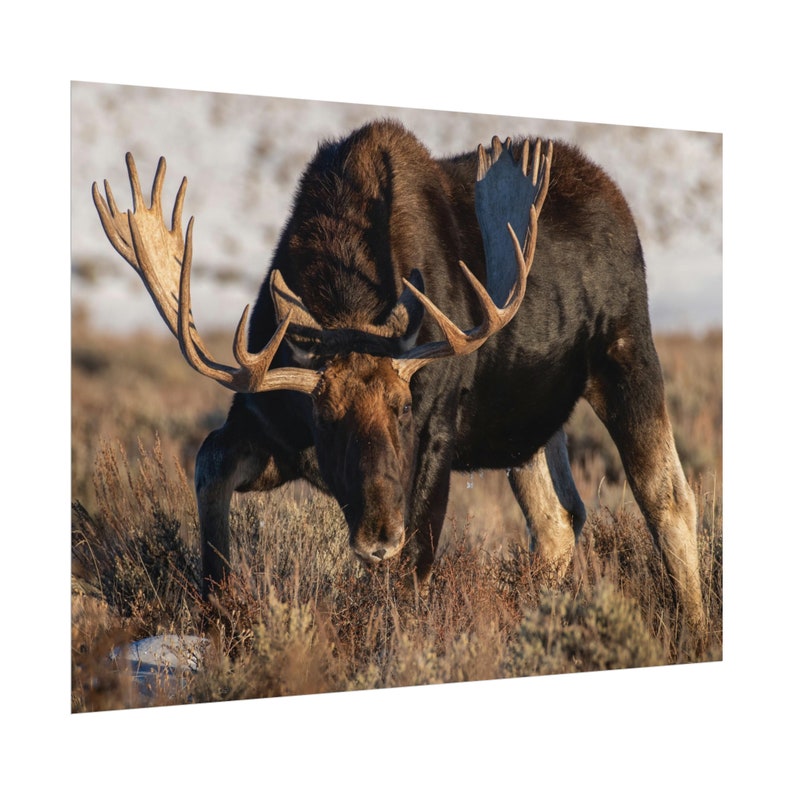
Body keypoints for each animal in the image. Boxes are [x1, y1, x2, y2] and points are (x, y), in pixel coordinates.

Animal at [92, 119, 705, 637]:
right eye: (324, 416)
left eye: (404, 406)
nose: (377, 536)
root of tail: (615, 195)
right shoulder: (270, 427)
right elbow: (207, 463)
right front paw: (216, 605)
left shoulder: (437, 438)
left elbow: (414, 566)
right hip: (527, 424)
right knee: (558, 517)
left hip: (626, 351)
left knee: (668, 496)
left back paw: (693, 624)